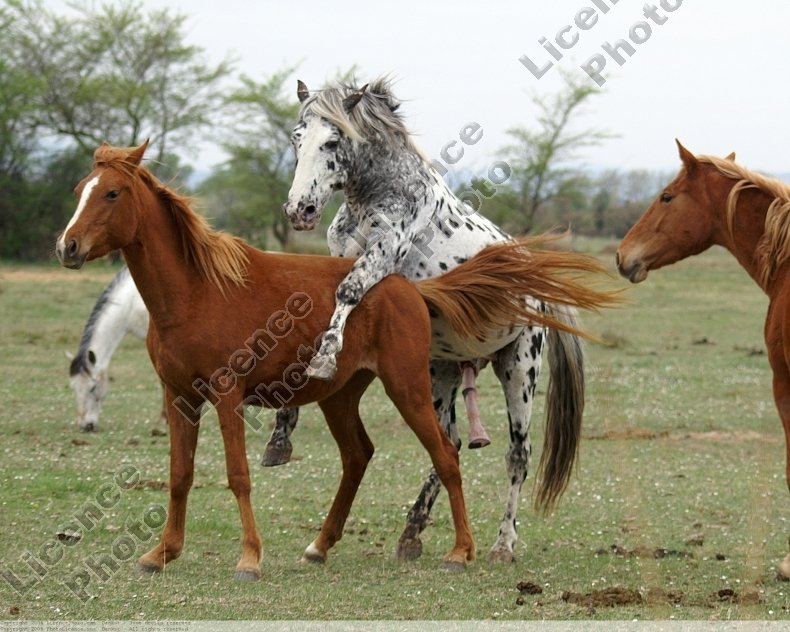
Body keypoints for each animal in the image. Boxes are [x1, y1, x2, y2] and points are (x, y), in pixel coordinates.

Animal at [276, 77, 604, 562]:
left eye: (333, 141)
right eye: (297, 139)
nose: (300, 209)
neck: (379, 195)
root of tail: (533, 279)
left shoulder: (380, 262)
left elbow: (346, 294)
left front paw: (322, 362)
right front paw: (283, 426)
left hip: (519, 369)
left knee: (518, 455)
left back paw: (502, 544)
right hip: (443, 367)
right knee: (449, 441)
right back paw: (412, 531)